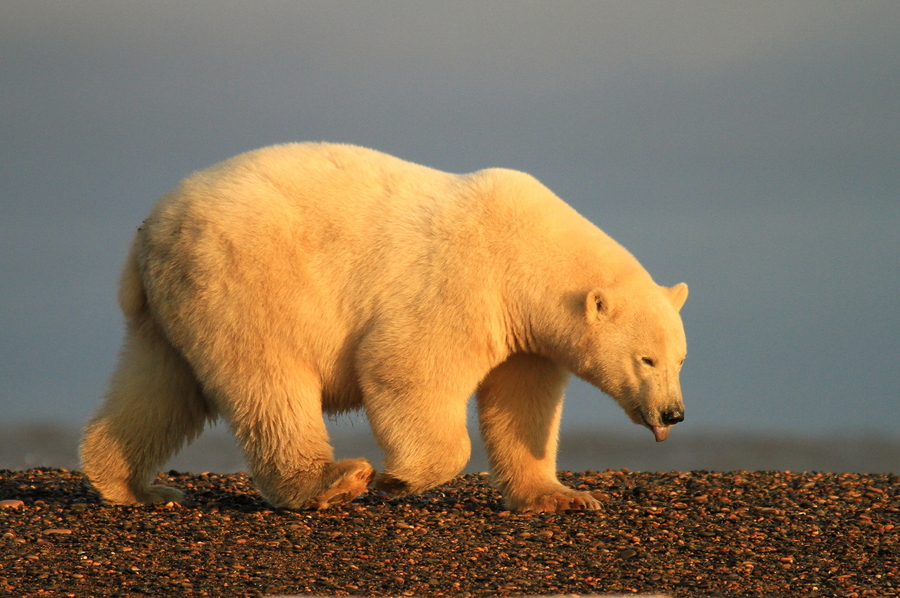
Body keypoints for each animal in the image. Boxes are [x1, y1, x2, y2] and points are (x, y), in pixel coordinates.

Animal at [80, 142, 688, 513]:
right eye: (647, 359)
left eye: (680, 359)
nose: (673, 414)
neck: (529, 254)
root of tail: (152, 228)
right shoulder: (463, 281)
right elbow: (406, 366)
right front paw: (399, 479)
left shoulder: (526, 336)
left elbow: (522, 405)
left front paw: (563, 496)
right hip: (244, 278)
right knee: (269, 380)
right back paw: (333, 480)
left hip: (175, 301)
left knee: (160, 387)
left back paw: (134, 486)